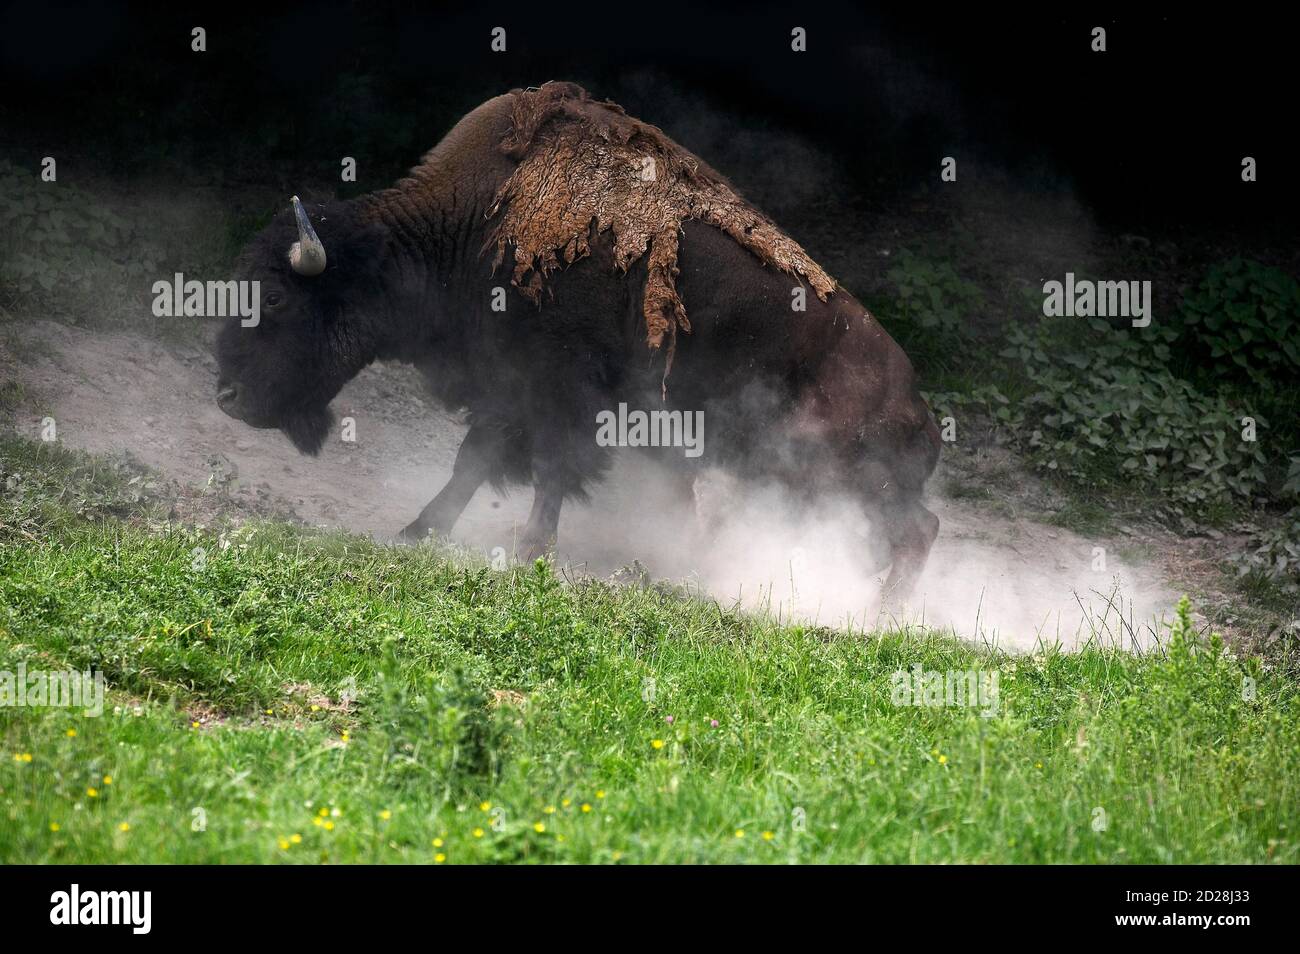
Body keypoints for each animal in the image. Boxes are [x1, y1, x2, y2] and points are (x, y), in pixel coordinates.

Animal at [215, 82, 940, 603]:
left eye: (276, 299)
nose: (226, 396)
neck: (470, 227)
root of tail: (919, 405)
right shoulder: (507, 386)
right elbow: (473, 461)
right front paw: (418, 531)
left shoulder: (558, 389)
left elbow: (550, 466)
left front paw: (531, 550)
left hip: (836, 475)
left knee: (917, 531)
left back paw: (878, 614)